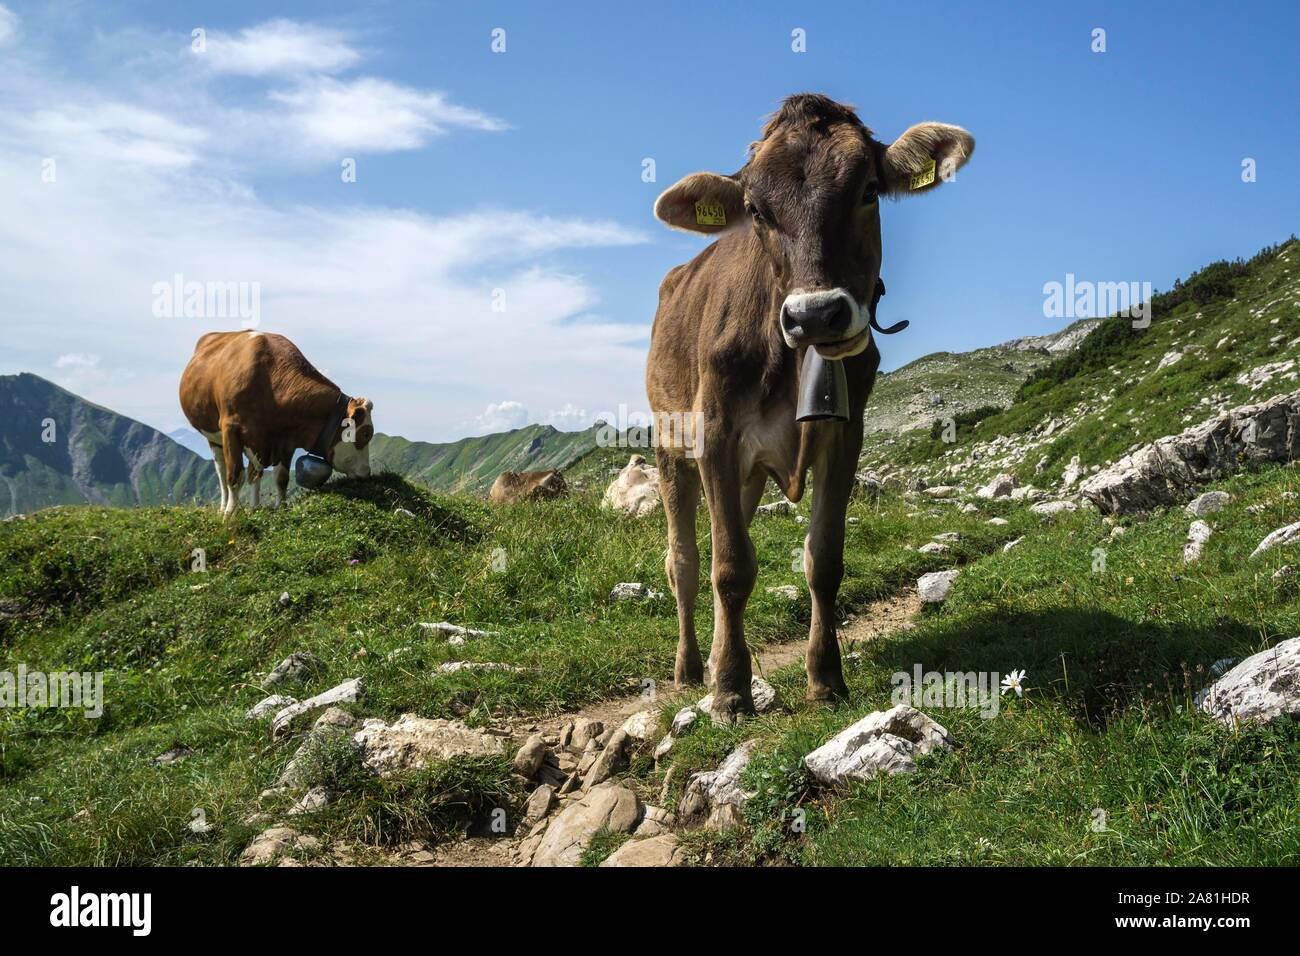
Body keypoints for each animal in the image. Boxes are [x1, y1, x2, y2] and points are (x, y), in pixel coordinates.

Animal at [179, 331, 375, 517]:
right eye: (366, 434)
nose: (367, 472)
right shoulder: (231, 430)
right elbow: (234, 476)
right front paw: (229, 516)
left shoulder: (285, 439)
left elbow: (281, 478)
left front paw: (280, 508)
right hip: (214, 436)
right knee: (222, 472)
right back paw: (223, 508)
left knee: (255, 474)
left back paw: (254, 507)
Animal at [646, 94, 974, 723]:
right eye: (755, 209)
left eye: (868, 190)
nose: (817, 314)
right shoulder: (716, 434)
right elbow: (728, 567)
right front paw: (730, 689)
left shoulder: (846, 434)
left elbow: (822, 559)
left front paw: (824, 679)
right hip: (671, 446)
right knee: (687, 564)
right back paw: (692, 668)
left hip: (745, 476)